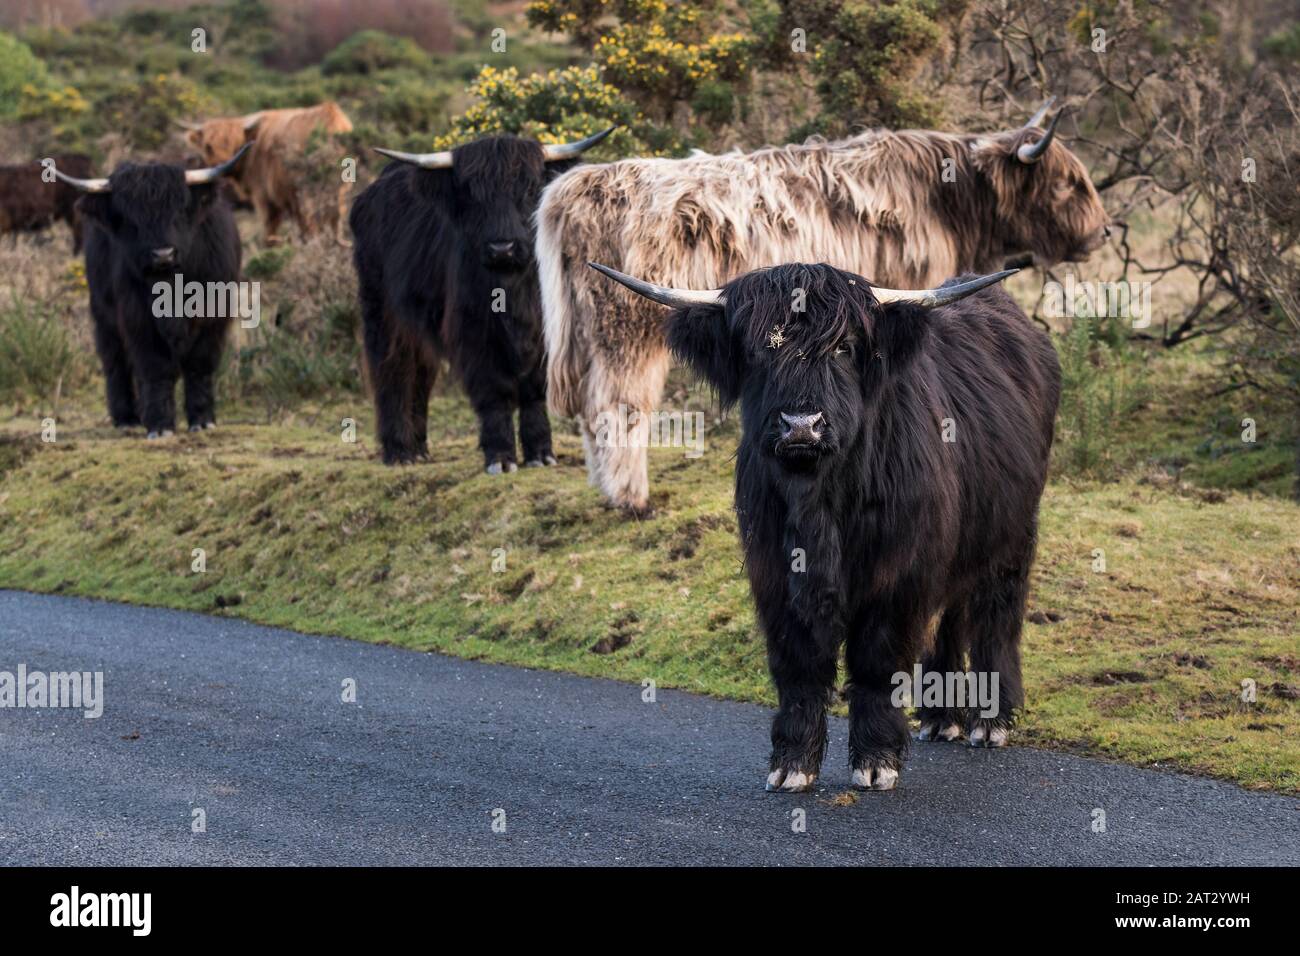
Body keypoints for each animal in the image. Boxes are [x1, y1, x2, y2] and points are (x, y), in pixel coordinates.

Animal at [53, 148, 248, 437]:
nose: (163, 254)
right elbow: (154, 367)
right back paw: (127, 418)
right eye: (132, 220)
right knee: (116, 362)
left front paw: (202, 420)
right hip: (103, 316)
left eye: (179, 211)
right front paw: (160, 425)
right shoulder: (138, 318)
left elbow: (199, 364)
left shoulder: (213, 316)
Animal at [179, 101, 353, 242]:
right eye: (208, 146)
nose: (221, 164)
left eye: (234, 145)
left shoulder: (264, 196)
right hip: (339, 189)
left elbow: (270, 230)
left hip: (307, 192)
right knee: (336, 218)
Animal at [349, 129, 613, 471]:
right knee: (392, 368)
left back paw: (420, 448)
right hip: (383, 312)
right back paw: (399, 452)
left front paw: (540, 453)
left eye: (529, 189)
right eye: (473, 195)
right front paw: (500, 457)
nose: (502, 248)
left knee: (421, 373)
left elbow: (534, 389)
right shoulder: (475, 335)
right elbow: (494, 391)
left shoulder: (544, 332)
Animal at [538, 99, 1107, 515]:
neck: (943, 200)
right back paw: (630, 497)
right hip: (627, 329)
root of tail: (575, 187)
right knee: (616, 404)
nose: (1102, 232)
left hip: (586, 331)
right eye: (1067, 183)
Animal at [589, 260, 1060, 792]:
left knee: (995, 617)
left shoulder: (897, 573)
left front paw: (876, 762)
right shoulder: (774, 572)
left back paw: (989, 722)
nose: (801, 425)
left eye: (843, 346)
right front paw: (792, 764)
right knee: (953, 617)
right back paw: (941, 720)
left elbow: (877, 660)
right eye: (759, 347)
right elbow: (797, 665)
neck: (818, 498)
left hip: (1013, 535)